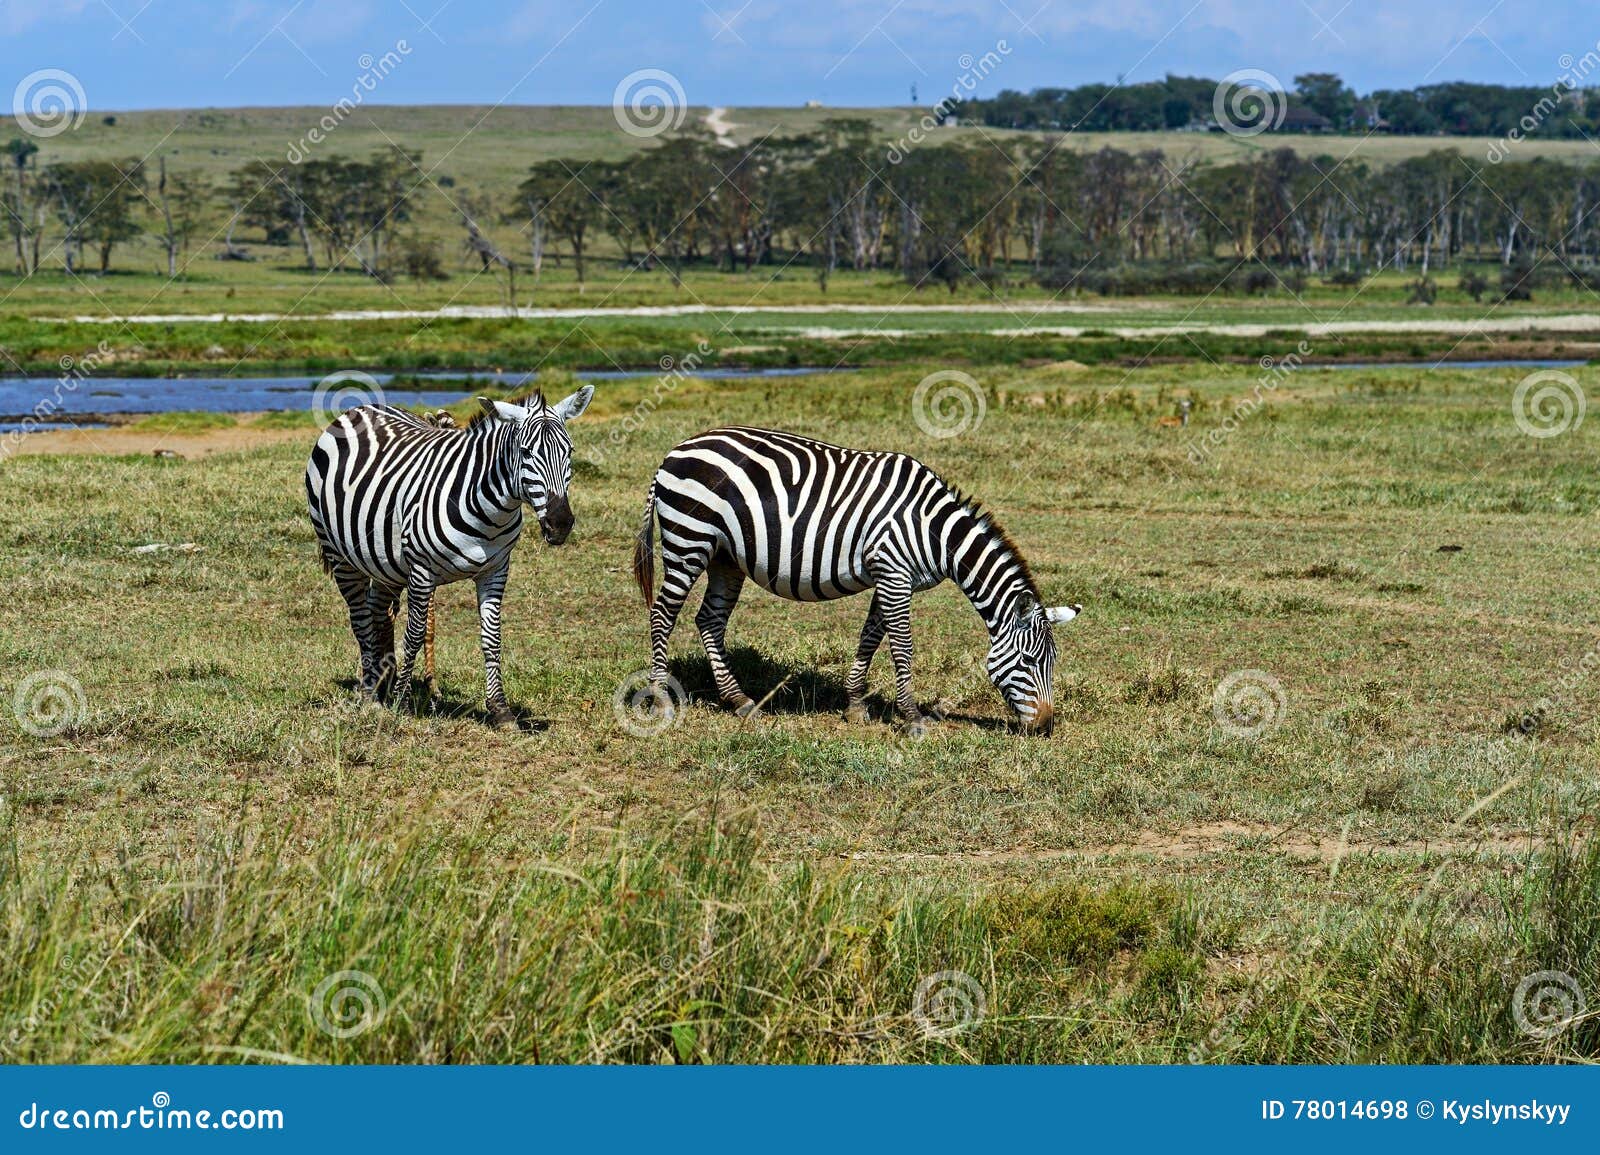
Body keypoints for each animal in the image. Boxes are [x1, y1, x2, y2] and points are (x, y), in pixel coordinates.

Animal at [304, 387, 593, 726]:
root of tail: (360, 408)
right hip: (341, 556)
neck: (490, 510)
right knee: (361, 619)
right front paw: (402, 703)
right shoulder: (421, 570)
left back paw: (382, 682)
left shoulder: (496, 570)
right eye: (525, 453)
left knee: (378, 613)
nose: (560, 524)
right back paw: (370, 695)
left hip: (386, 563)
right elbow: (415, 634)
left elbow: (491, 637)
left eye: (569, 452)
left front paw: (500, 709)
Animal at [633, 427, 1079, 735]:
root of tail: (676, 450)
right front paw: (912, 718)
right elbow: (902, 648)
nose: (1045, 726)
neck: (934, 531)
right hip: (688, 540)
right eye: (1029, 661)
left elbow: (870, 638)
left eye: (1053, 663)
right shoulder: (893, 573)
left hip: (725, 557)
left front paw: (854, 706)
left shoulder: (892, 576)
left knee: (709, 620)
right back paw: (660, 699)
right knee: (663, 614)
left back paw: (739, 700)